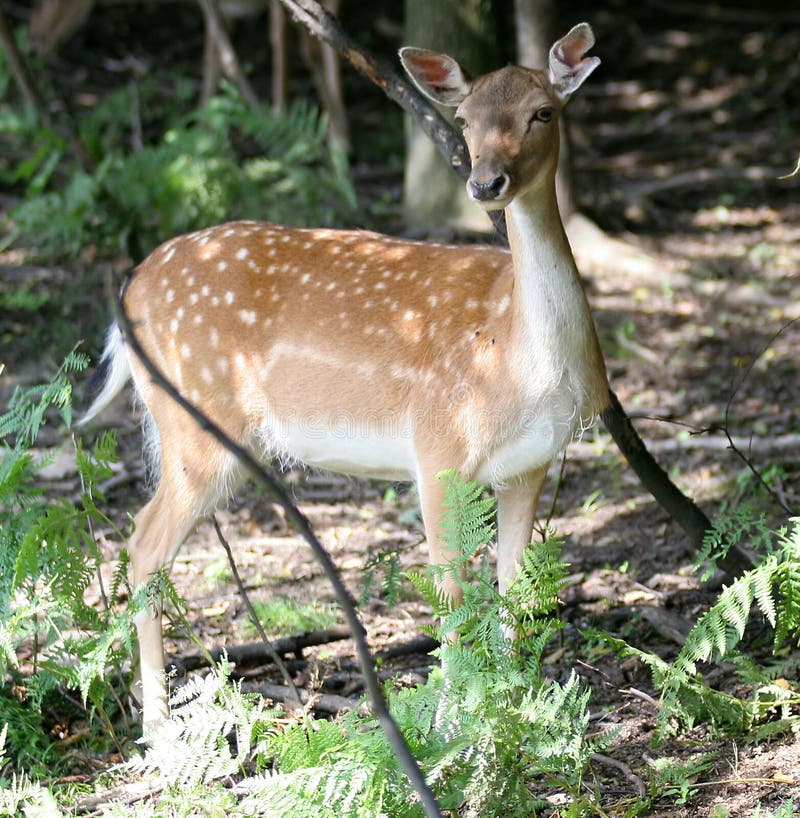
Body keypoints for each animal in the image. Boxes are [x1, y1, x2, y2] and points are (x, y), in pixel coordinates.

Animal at [80, 22, 608, 738]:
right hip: (193, 421)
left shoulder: (529, 464)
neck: (517, 355)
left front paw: (513, 718)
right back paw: (159, 730)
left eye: (542, 112)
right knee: (141, 543)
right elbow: (450, 600)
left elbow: (511, 595)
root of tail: (127, 290)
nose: (485, 182)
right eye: (463, 120)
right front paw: (449, 732)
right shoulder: (437, 447)